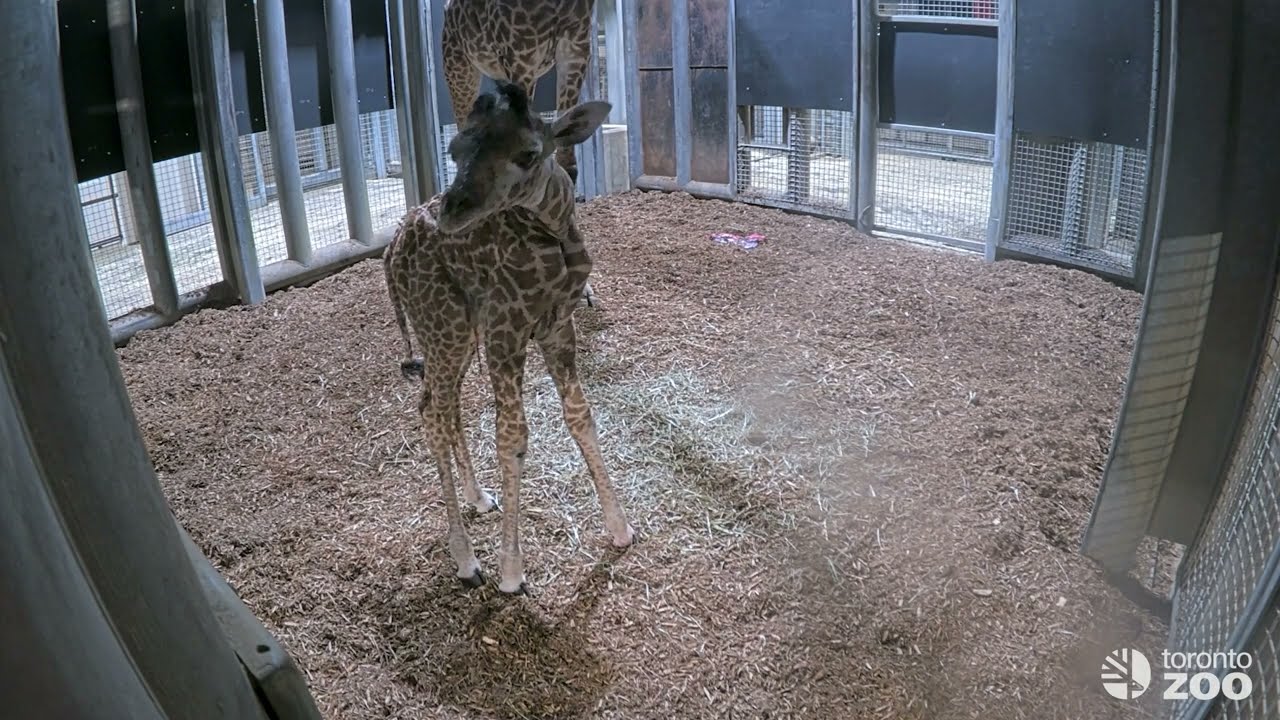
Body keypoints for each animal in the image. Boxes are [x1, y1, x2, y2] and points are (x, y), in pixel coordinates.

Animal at [382, 82, 635, 594]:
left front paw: (620, 528)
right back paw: (466, 559)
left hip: (456, 333)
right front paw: (511, 572)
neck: (553, 233)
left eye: (529, 152)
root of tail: (391, 249)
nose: (453, 211)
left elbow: (580, 417)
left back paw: (480, 498)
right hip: (443, 326)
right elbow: (513, 439)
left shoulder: (557, 328)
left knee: (439, 405)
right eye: (455, 151)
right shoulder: (507, 330)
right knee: (434, 413)